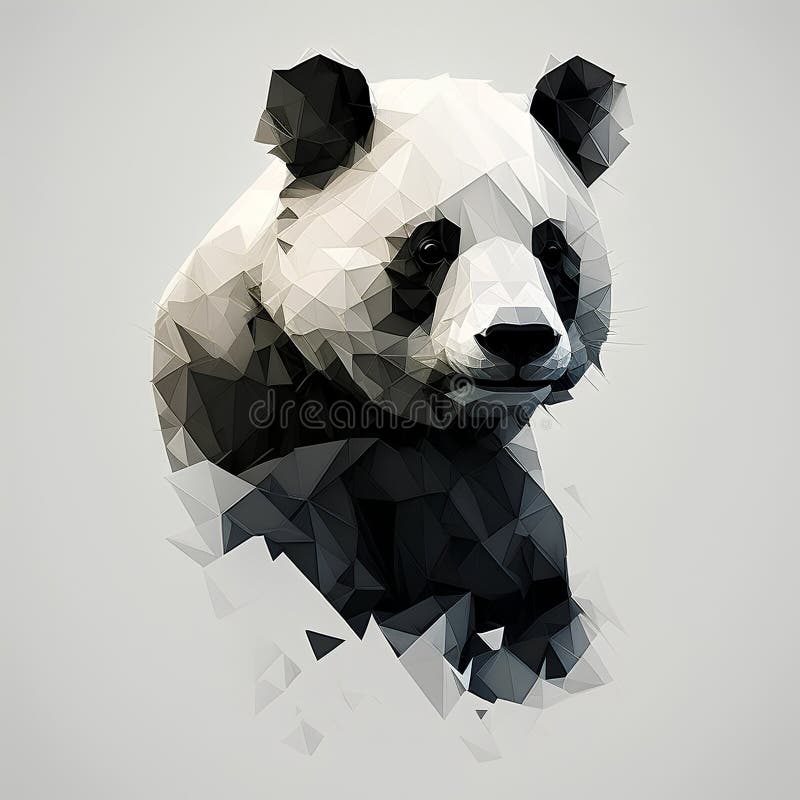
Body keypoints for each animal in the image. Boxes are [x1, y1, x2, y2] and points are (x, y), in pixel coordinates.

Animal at [152, 53, 631, 705]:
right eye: (431, 248)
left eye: (553, 250)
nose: (519, 338)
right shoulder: (252, 412)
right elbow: (313, 563)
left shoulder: (478, 472)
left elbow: (521, 568)